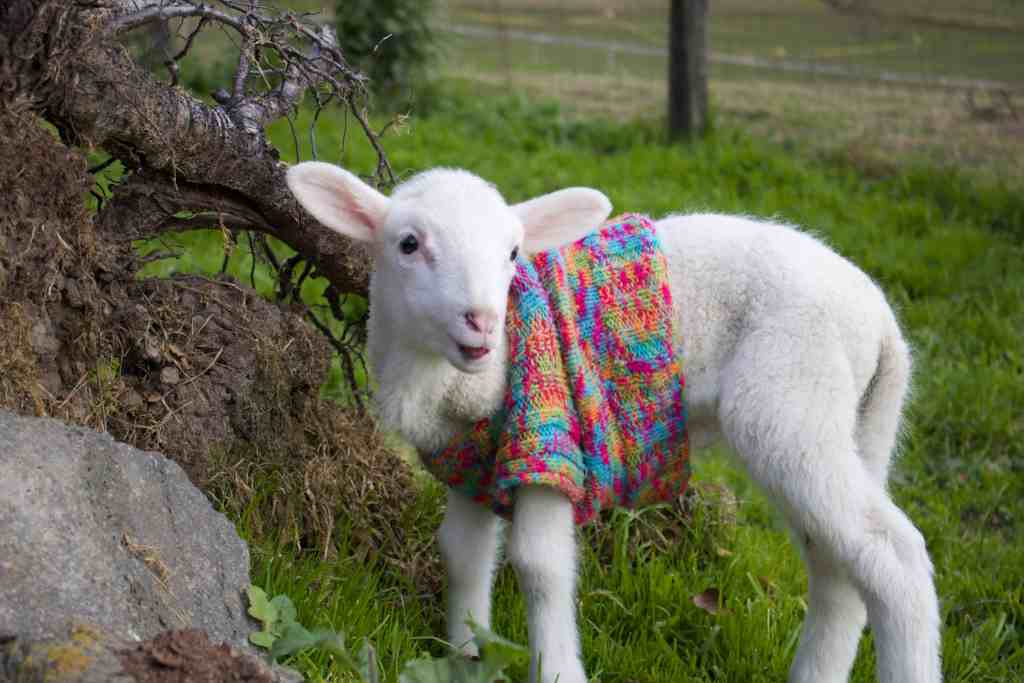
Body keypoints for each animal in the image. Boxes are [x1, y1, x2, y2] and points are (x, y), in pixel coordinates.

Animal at [286, 161, 942, 683]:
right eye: (407, 244)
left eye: (512, 253)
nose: (481, 321)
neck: (453, 384)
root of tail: (883, 325)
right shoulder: (470, 467)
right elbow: (463, 554)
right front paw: (466, 655)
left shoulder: (550, 444)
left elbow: (539, 564)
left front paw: (556, 670)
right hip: (856, 422)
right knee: (839, 571)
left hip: (790, 401)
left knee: (894, 555)